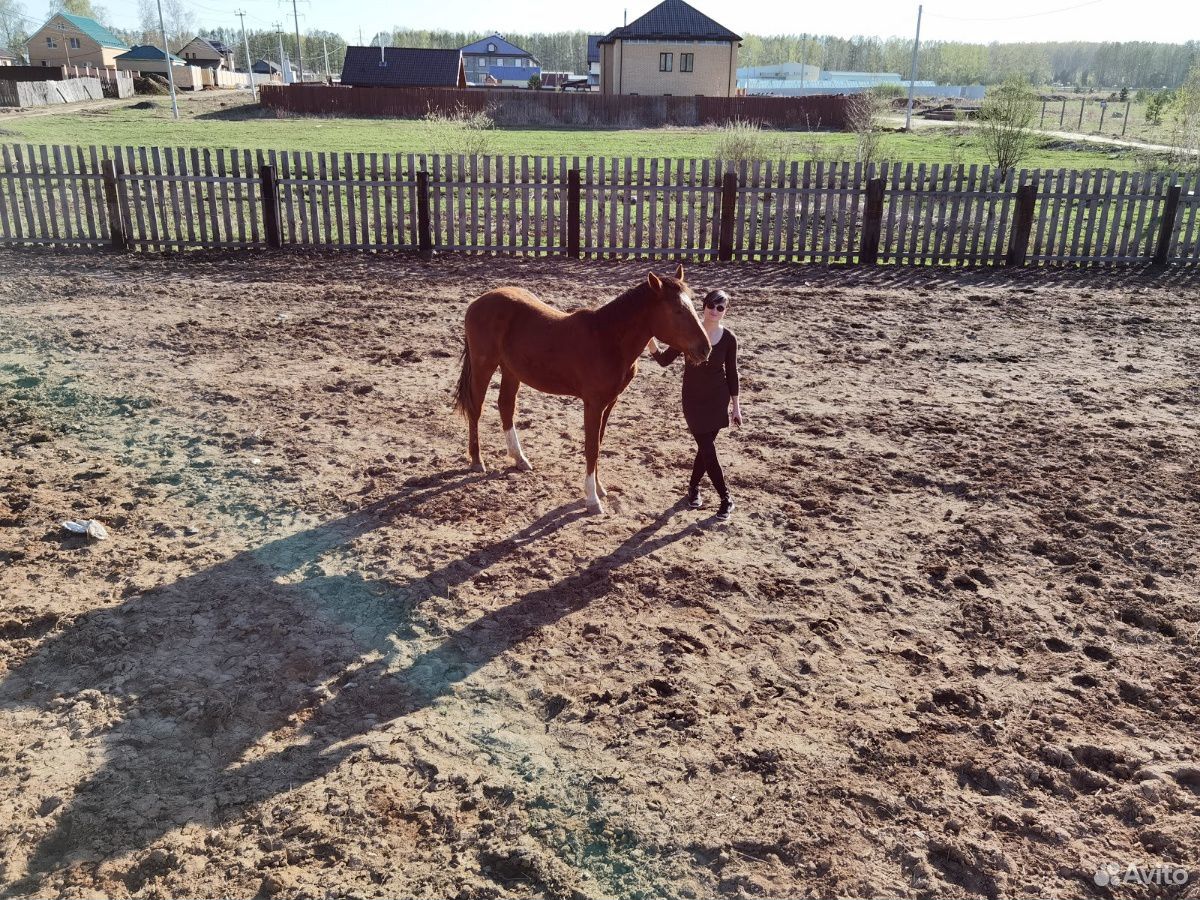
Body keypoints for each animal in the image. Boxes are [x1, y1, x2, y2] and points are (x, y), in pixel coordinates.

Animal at [453, 264, 710, 514]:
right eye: (677, 311)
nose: (705, 348)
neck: (608, 340)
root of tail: (477, 302)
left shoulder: (609, 402)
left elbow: (598, 442)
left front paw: (599, 488)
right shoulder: (593, 404)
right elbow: (591, 448)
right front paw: (592, 500)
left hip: (510, 370)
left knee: (506, 406)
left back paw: (520, 459)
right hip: (484, 365)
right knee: (476, 408)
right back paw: (477, 461)